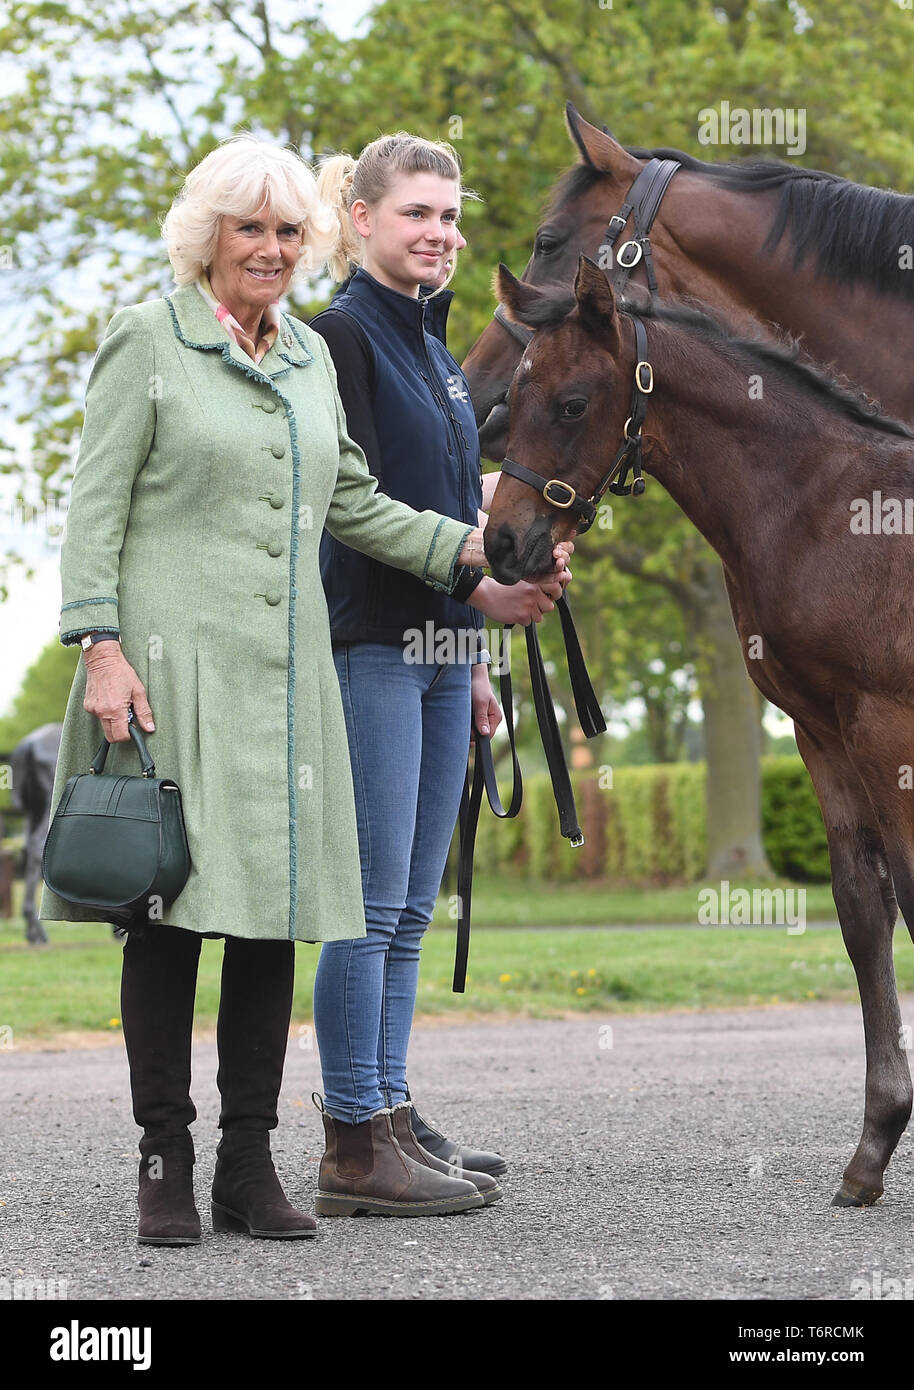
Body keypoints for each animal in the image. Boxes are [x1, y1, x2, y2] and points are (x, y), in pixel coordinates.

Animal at [485, 255, 914, 1209]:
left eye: (570, 402)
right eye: (512, 399)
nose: (502, 545)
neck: (829, 507)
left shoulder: (887, 728)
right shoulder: (823, 733)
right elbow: (862, 910)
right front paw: (871, 1150)